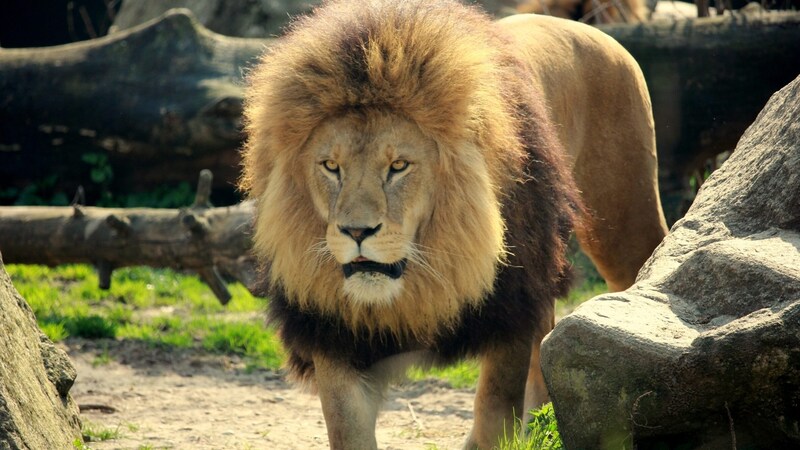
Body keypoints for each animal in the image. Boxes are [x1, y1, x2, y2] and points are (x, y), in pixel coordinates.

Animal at [240, 0, 667, 448]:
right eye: (330, 166)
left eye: (398, 166)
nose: (357, 232)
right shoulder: (337, 336)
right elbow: (348, 428)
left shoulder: (508, 311)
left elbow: (493, 413)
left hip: (623, 223)